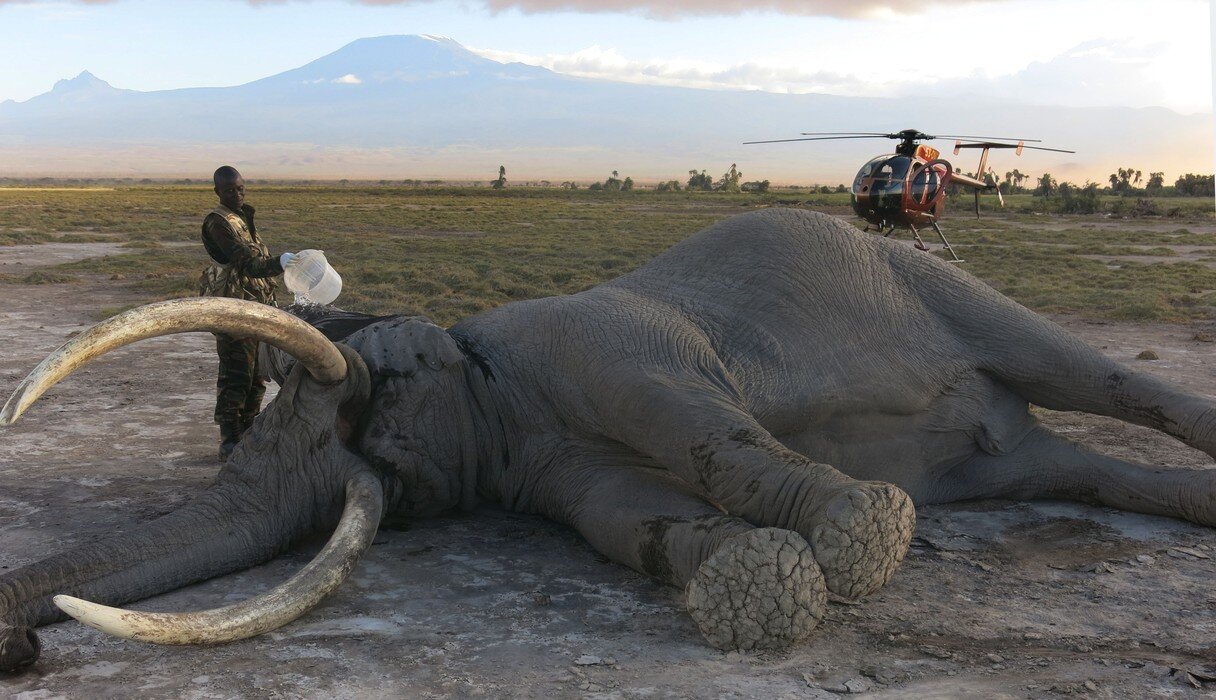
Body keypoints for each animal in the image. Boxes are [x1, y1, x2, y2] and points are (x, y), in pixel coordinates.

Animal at [3, 208, 1215, 672]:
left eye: (344, 401)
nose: (22, 645)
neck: (480, 373)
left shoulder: (595, 341)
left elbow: (693, 425)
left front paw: (857, 539)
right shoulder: (544, 465)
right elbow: (629, 521)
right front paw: (750, 589)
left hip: (929, 280)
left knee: (1088, 374)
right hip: (1002, 448)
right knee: (1076, 465)